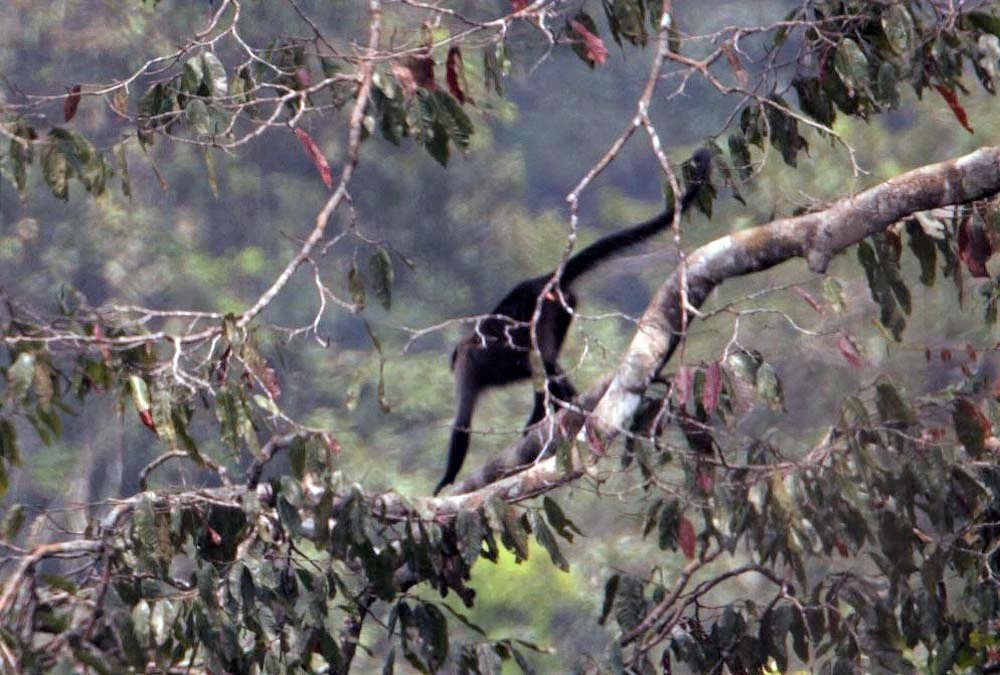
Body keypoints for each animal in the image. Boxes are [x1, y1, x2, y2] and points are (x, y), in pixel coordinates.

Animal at [434, 148, 713, 495]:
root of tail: (546, 279)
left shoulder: (467, 366)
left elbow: (462, 424)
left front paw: (443, 482)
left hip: (546, 309)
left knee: (544, 359)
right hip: (564, 307)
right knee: (546, 365)